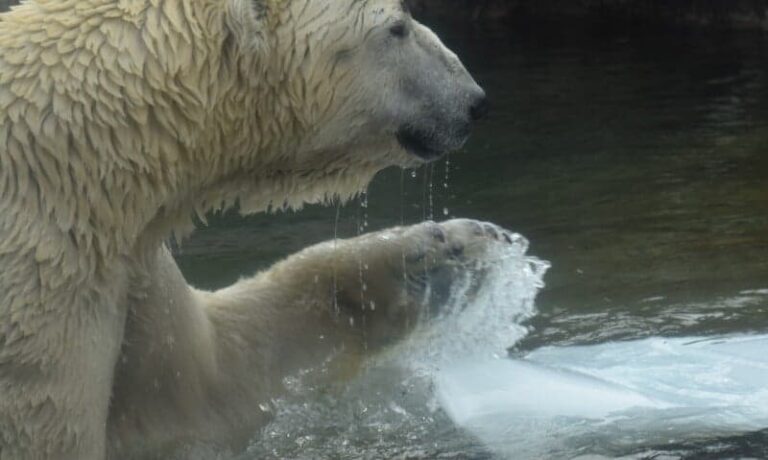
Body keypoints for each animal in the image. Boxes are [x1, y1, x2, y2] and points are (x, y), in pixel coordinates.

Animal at [0, 0, 506, 459]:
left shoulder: (127, 258)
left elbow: (214, 378)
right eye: (397, 28)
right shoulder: (44, 285)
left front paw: (448, 251)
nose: (475, 100)